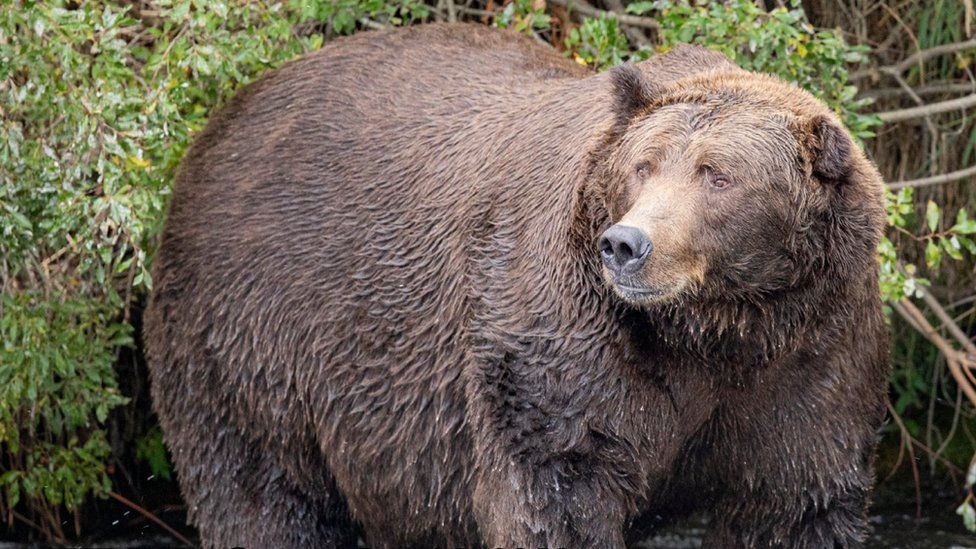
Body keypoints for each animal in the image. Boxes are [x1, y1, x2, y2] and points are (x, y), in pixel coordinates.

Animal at [144, 22, 889, 549]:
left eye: (718, 174)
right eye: (644, 165)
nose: (626, 245)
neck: (717, 328)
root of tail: (220, 122)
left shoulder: (811, 354)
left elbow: (797, 498)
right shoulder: (567, 335)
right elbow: (557, 484)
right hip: (252, 336)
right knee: (258, 493)